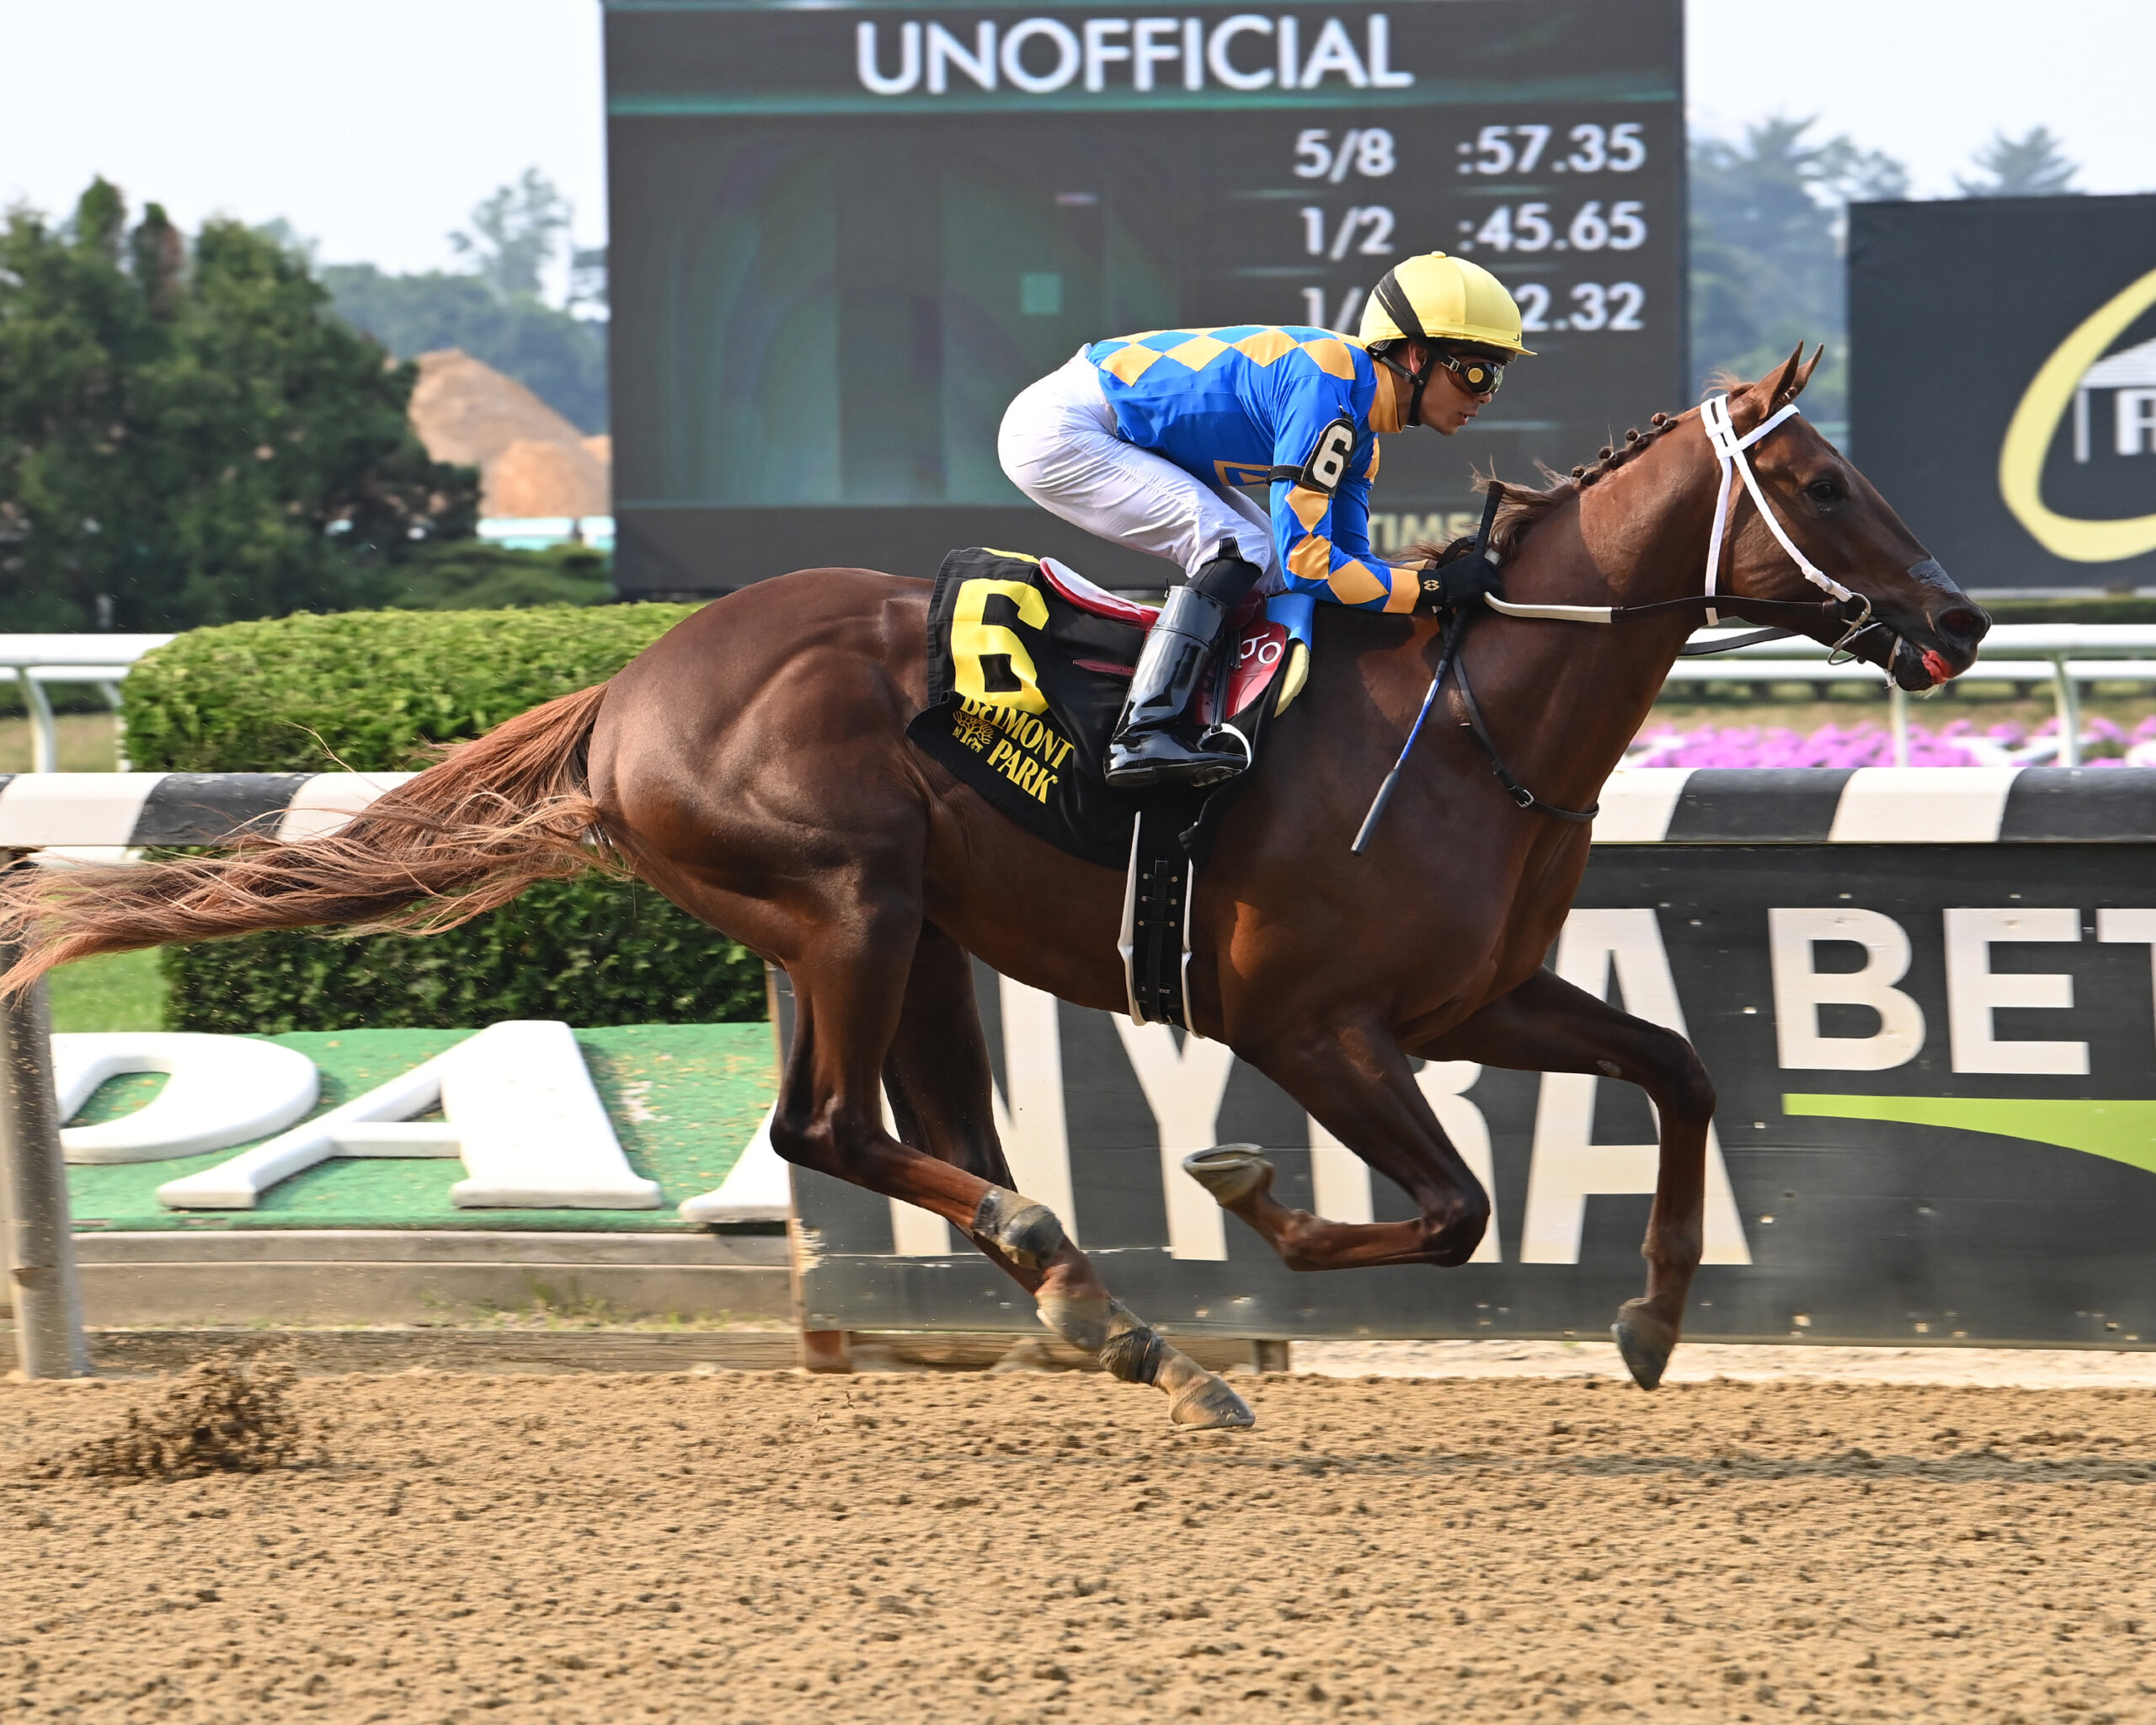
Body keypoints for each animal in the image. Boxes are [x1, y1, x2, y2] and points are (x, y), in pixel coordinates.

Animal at [0, 347, 1988, 1428]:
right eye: (1818, 478)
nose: (1961, 620)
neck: (1472, 713)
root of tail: (631, 685)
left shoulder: (1473, 996)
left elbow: (1680, 1072)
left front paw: (1653, 1315)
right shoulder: (1312, 1023)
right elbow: (1440, 1209)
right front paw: (1240, 1188)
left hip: (930, 937)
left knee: (927, 1131)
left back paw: (1108, 1317)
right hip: (846, 905)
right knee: (823, 1127)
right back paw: (1094, 1291)